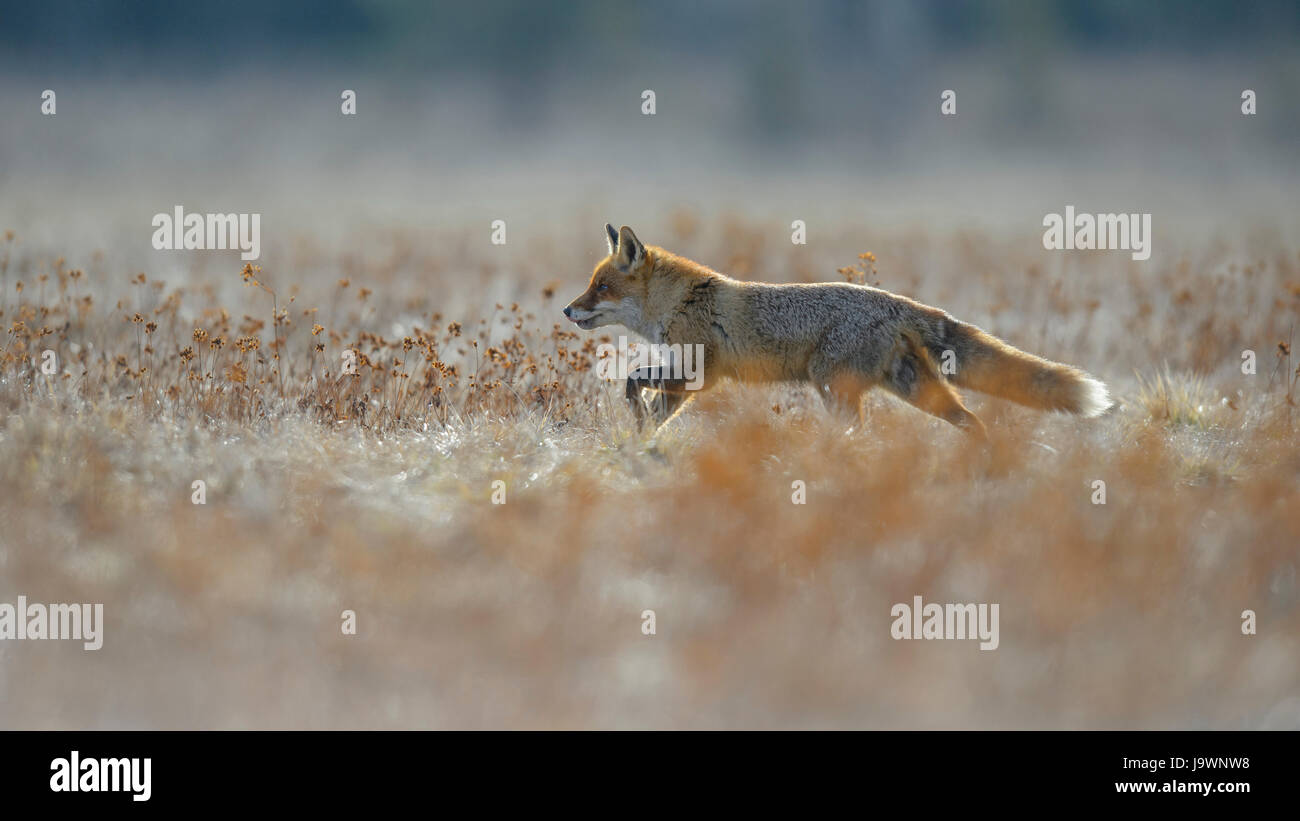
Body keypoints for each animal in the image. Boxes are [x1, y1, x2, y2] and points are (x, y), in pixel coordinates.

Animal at [564, 224, 1111, 437]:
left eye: (601, 286)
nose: (568, 310)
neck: (682, 301)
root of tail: (898, 303)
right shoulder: (687, 379)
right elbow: (651, 408)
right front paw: (640, 442)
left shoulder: (702, 374)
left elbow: (632, 381)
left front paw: (635, 425)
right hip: (911, 387)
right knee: (972, 421)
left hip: (833, 387)